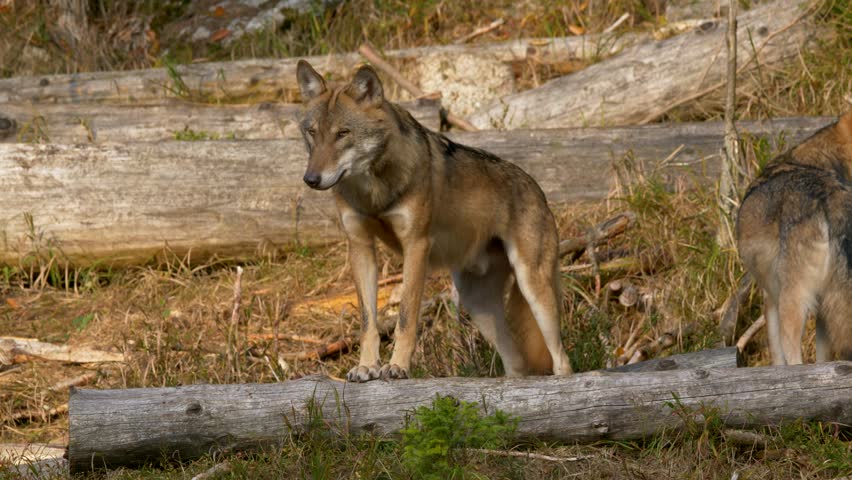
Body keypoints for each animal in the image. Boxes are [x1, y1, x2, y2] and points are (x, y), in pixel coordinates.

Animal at [295, 60, 573, 382]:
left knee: (562, 358)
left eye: (342, 133)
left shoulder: (417, 246)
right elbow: (368, 322)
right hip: (477, 304)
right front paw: (366, 366)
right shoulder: (360, 246)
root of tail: (538, 189)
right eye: (312, 132)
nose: (311, 179)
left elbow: (405, 318)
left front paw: (398, 367)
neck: (373, 191)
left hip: (533, 289)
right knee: (517, 363)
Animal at [737, 111, 852, 365]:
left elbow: (776, 354)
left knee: (794, 359)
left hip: (793, 300)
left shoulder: (770, 297)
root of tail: (828, 195)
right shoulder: (823, 306)